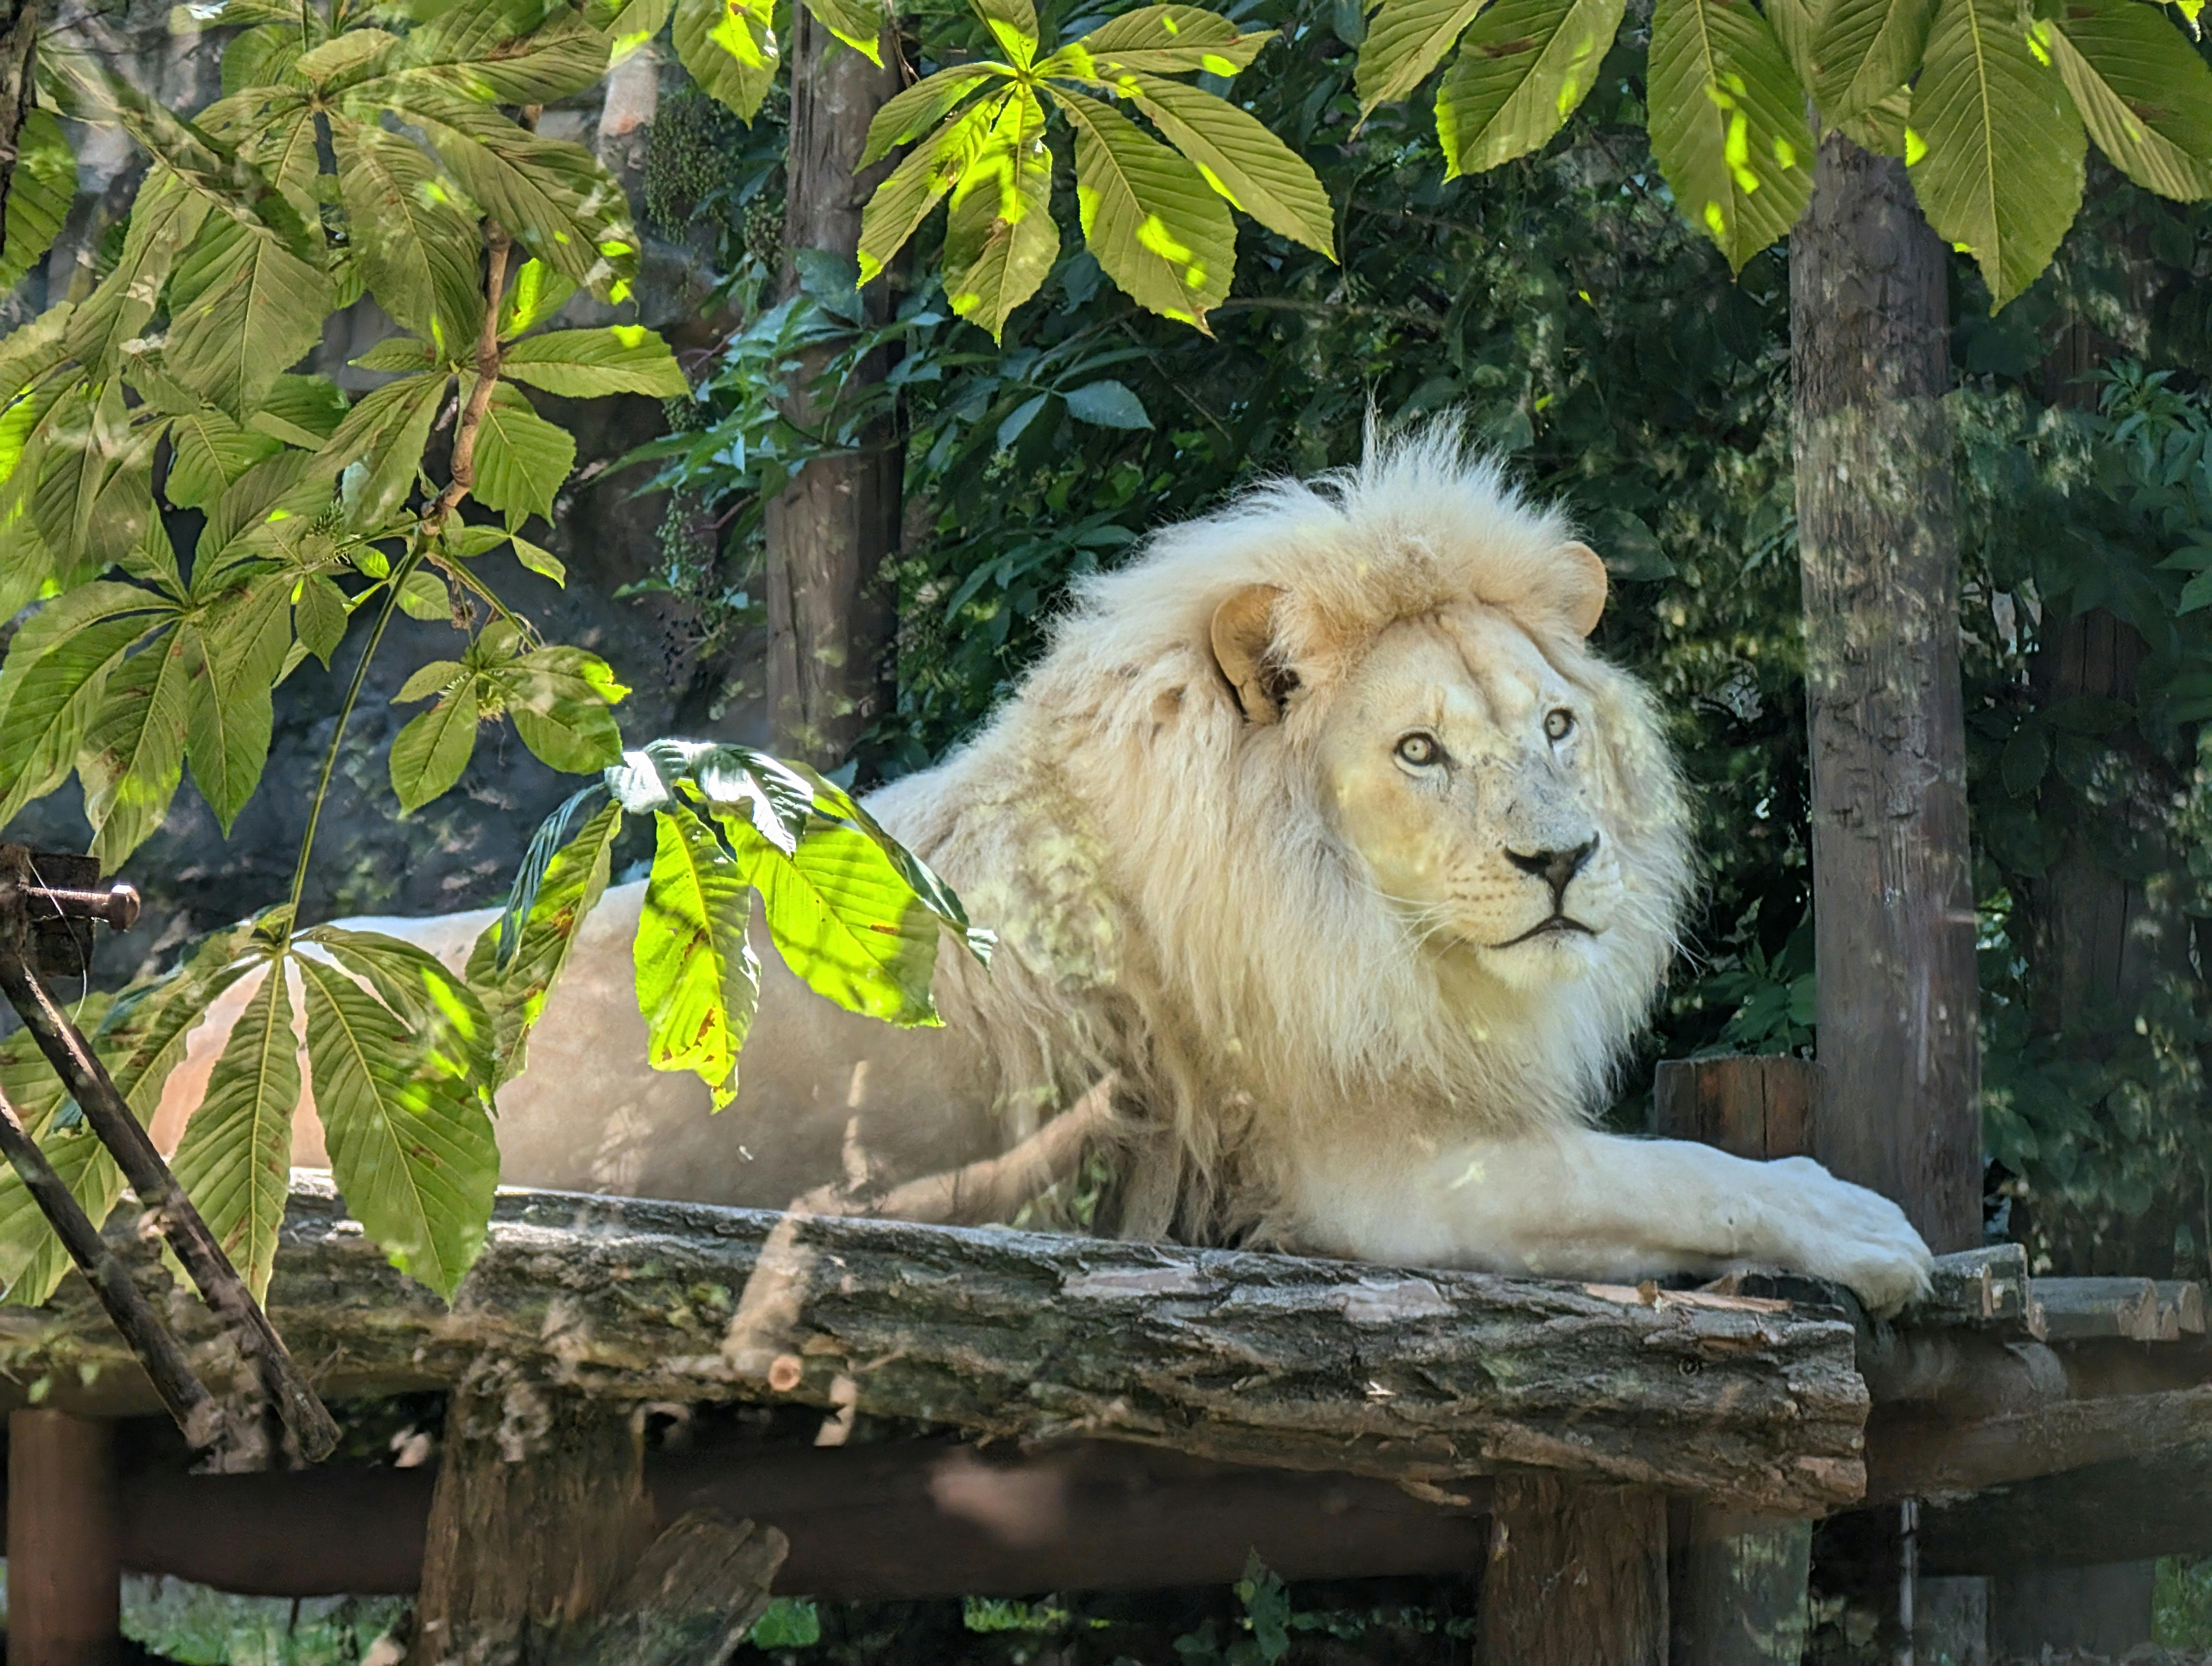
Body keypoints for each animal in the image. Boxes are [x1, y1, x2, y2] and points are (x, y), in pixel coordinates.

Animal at [154, 424, 1933, 1313]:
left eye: (1557, 722)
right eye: (1421, 751)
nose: (1563, 861)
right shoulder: (1369, 1169)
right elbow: (1675, 1166)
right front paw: (1871, 1229)